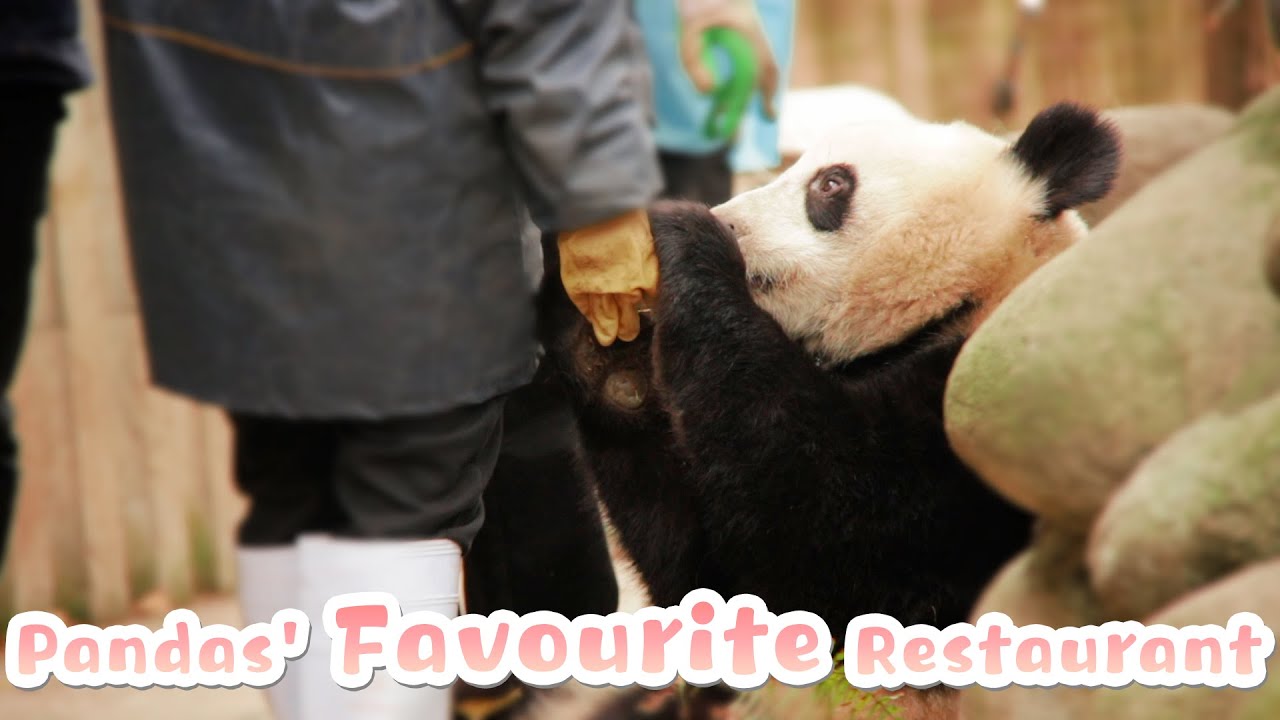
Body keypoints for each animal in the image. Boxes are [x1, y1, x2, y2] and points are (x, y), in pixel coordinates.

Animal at [541, 102, 1121, 642]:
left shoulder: (978, 413)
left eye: (831, 182)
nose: (728, 221)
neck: (960, 304)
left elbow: (832, 537)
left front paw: (683, 232)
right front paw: (605, 345)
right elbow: (702, 577)